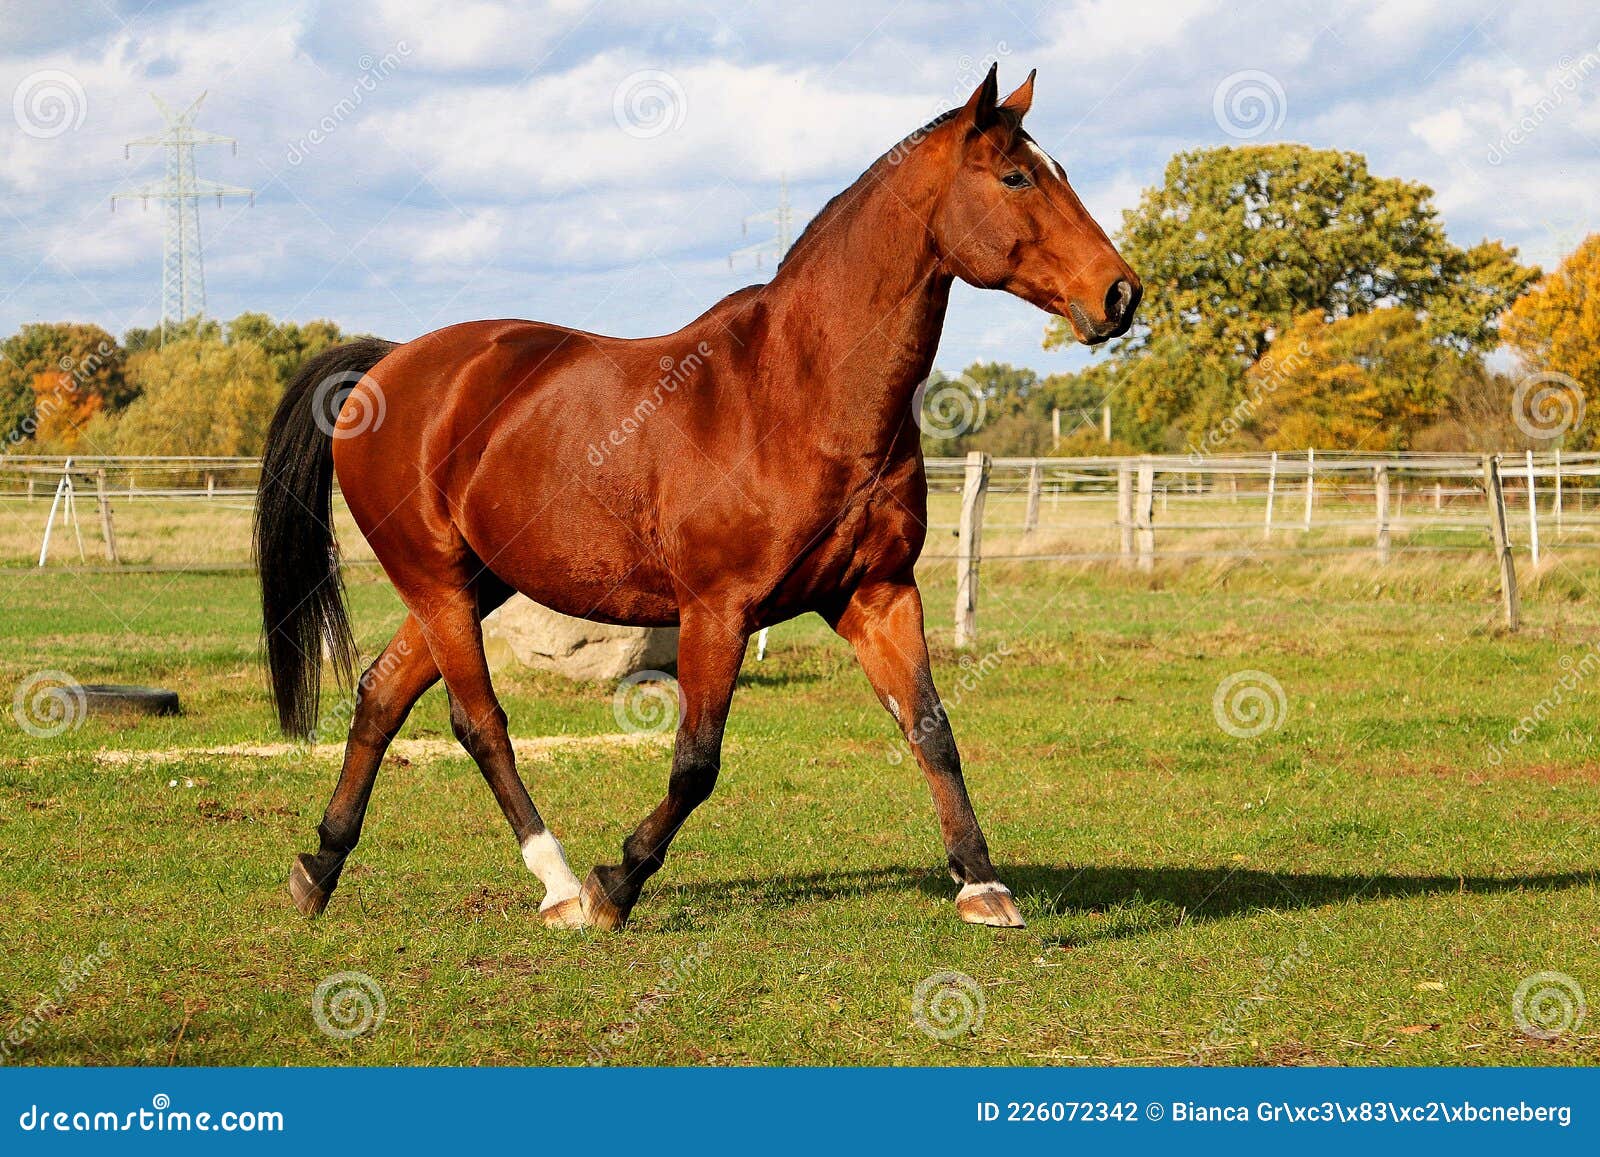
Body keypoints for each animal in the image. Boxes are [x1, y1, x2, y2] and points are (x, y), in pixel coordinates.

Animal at [255, 66, 1140, 932]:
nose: (1121, 295)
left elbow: (932, 729)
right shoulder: (718, 610)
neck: (798, 392)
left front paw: (982, 883)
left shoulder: (877, 593)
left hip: (472, 582)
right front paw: (616, 883)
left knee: (380, 695)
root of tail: (388, 364)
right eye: (1017, 176)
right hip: (437, 582)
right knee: (480, 723)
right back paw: (560, 884)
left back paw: (319, 866)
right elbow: (696, 762)